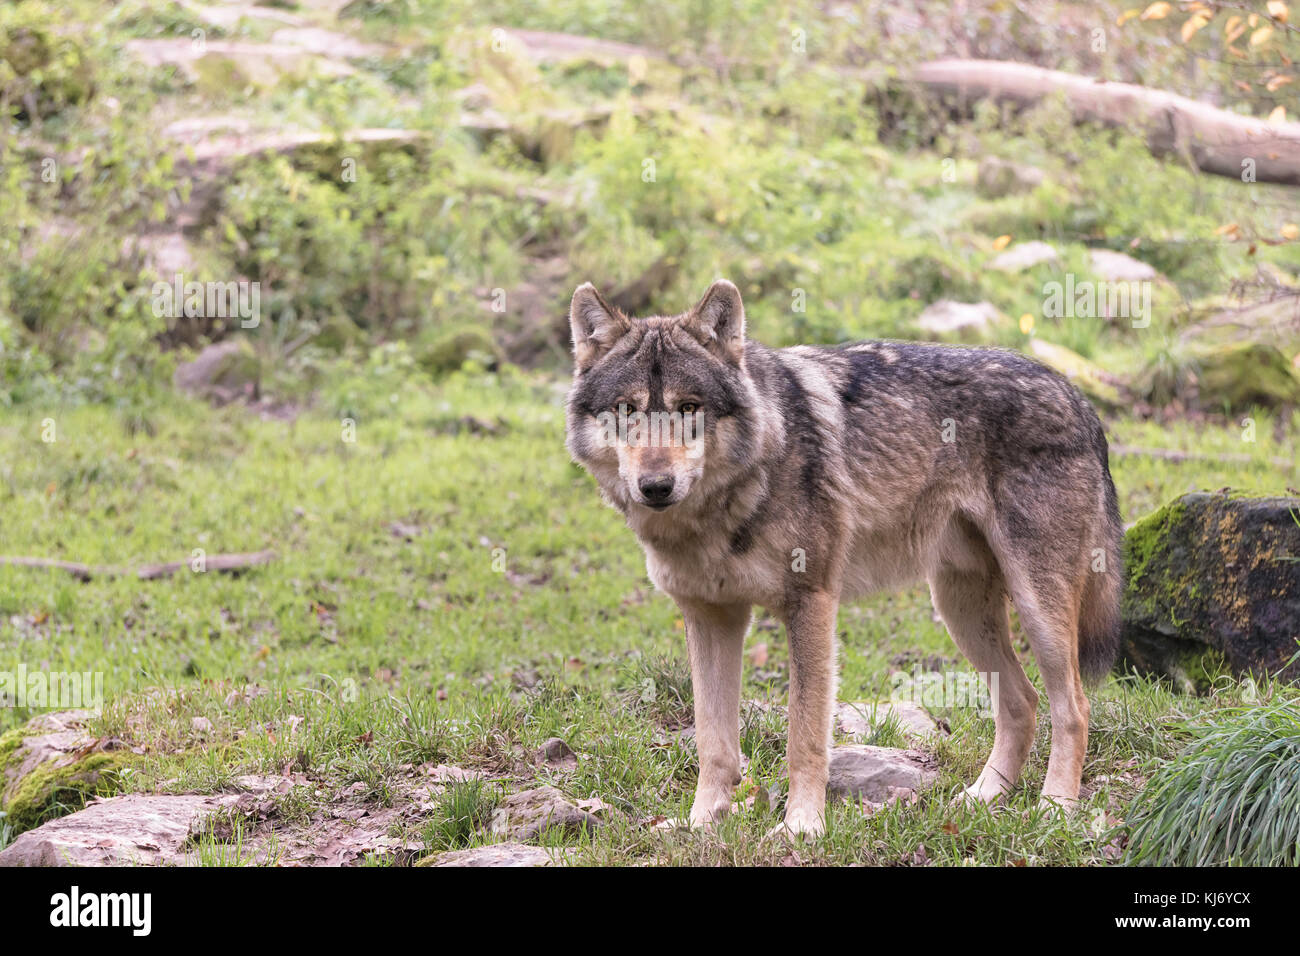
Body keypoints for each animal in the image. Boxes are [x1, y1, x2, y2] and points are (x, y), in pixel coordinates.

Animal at [565, 279, 1123, 837]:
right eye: (627, 410)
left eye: (688, 408)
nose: (655, 486)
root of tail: (1078, 396)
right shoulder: (710, 617)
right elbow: (713, 742)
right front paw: (701, 824)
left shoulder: (811, 603)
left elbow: (805, 735)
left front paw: (801, 826)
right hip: (958, 609)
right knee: (1022, 702)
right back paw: (984, 798)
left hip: (1035, 607)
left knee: (1074, 706)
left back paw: (1056, 808)